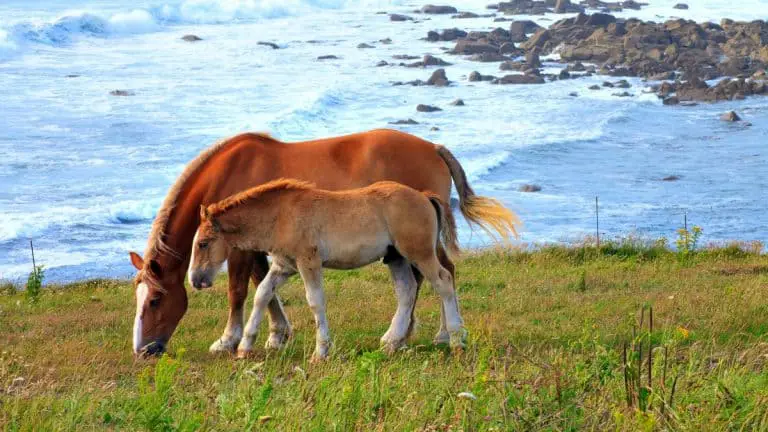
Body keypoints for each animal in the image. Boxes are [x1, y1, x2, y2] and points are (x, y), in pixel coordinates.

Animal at [188, 179, 469, 360]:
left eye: (203, 243)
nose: (195, 280)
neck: (281, 215)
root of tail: (424, 196)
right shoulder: (283, 266)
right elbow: (262, 295)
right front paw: (244, 348)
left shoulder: (308, 262)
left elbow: (315, 301)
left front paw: (321, 351)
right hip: (396, 257)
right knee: (407, 291)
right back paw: (391, 342)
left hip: (418, 252)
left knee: (443, 280)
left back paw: (456, 340)